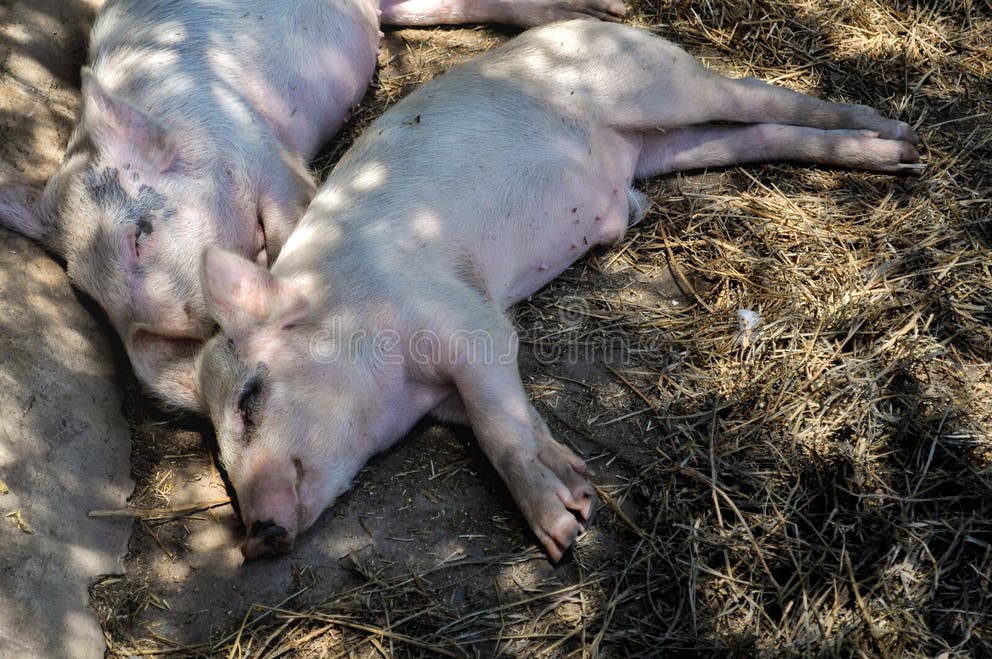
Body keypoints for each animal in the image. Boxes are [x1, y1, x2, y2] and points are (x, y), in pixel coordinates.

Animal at [0, 0, 626, 412]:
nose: (156, 341)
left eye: (140, 233)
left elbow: (292, 222)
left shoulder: (263, 151)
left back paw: (606, 17)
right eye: (84, 290)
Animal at [195, 20, 920, 560]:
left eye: (250, 398)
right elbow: (517, 421)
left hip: (660, 87)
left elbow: (499, 431)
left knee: (754, 95)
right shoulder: (460, 384)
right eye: (221, 452)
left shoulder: (464, 319)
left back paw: (899, 137)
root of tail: (593, 25)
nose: (256, 538)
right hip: (668, 147)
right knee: (754, 134)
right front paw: (579, 487)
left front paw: (564, 534)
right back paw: (893, 154)